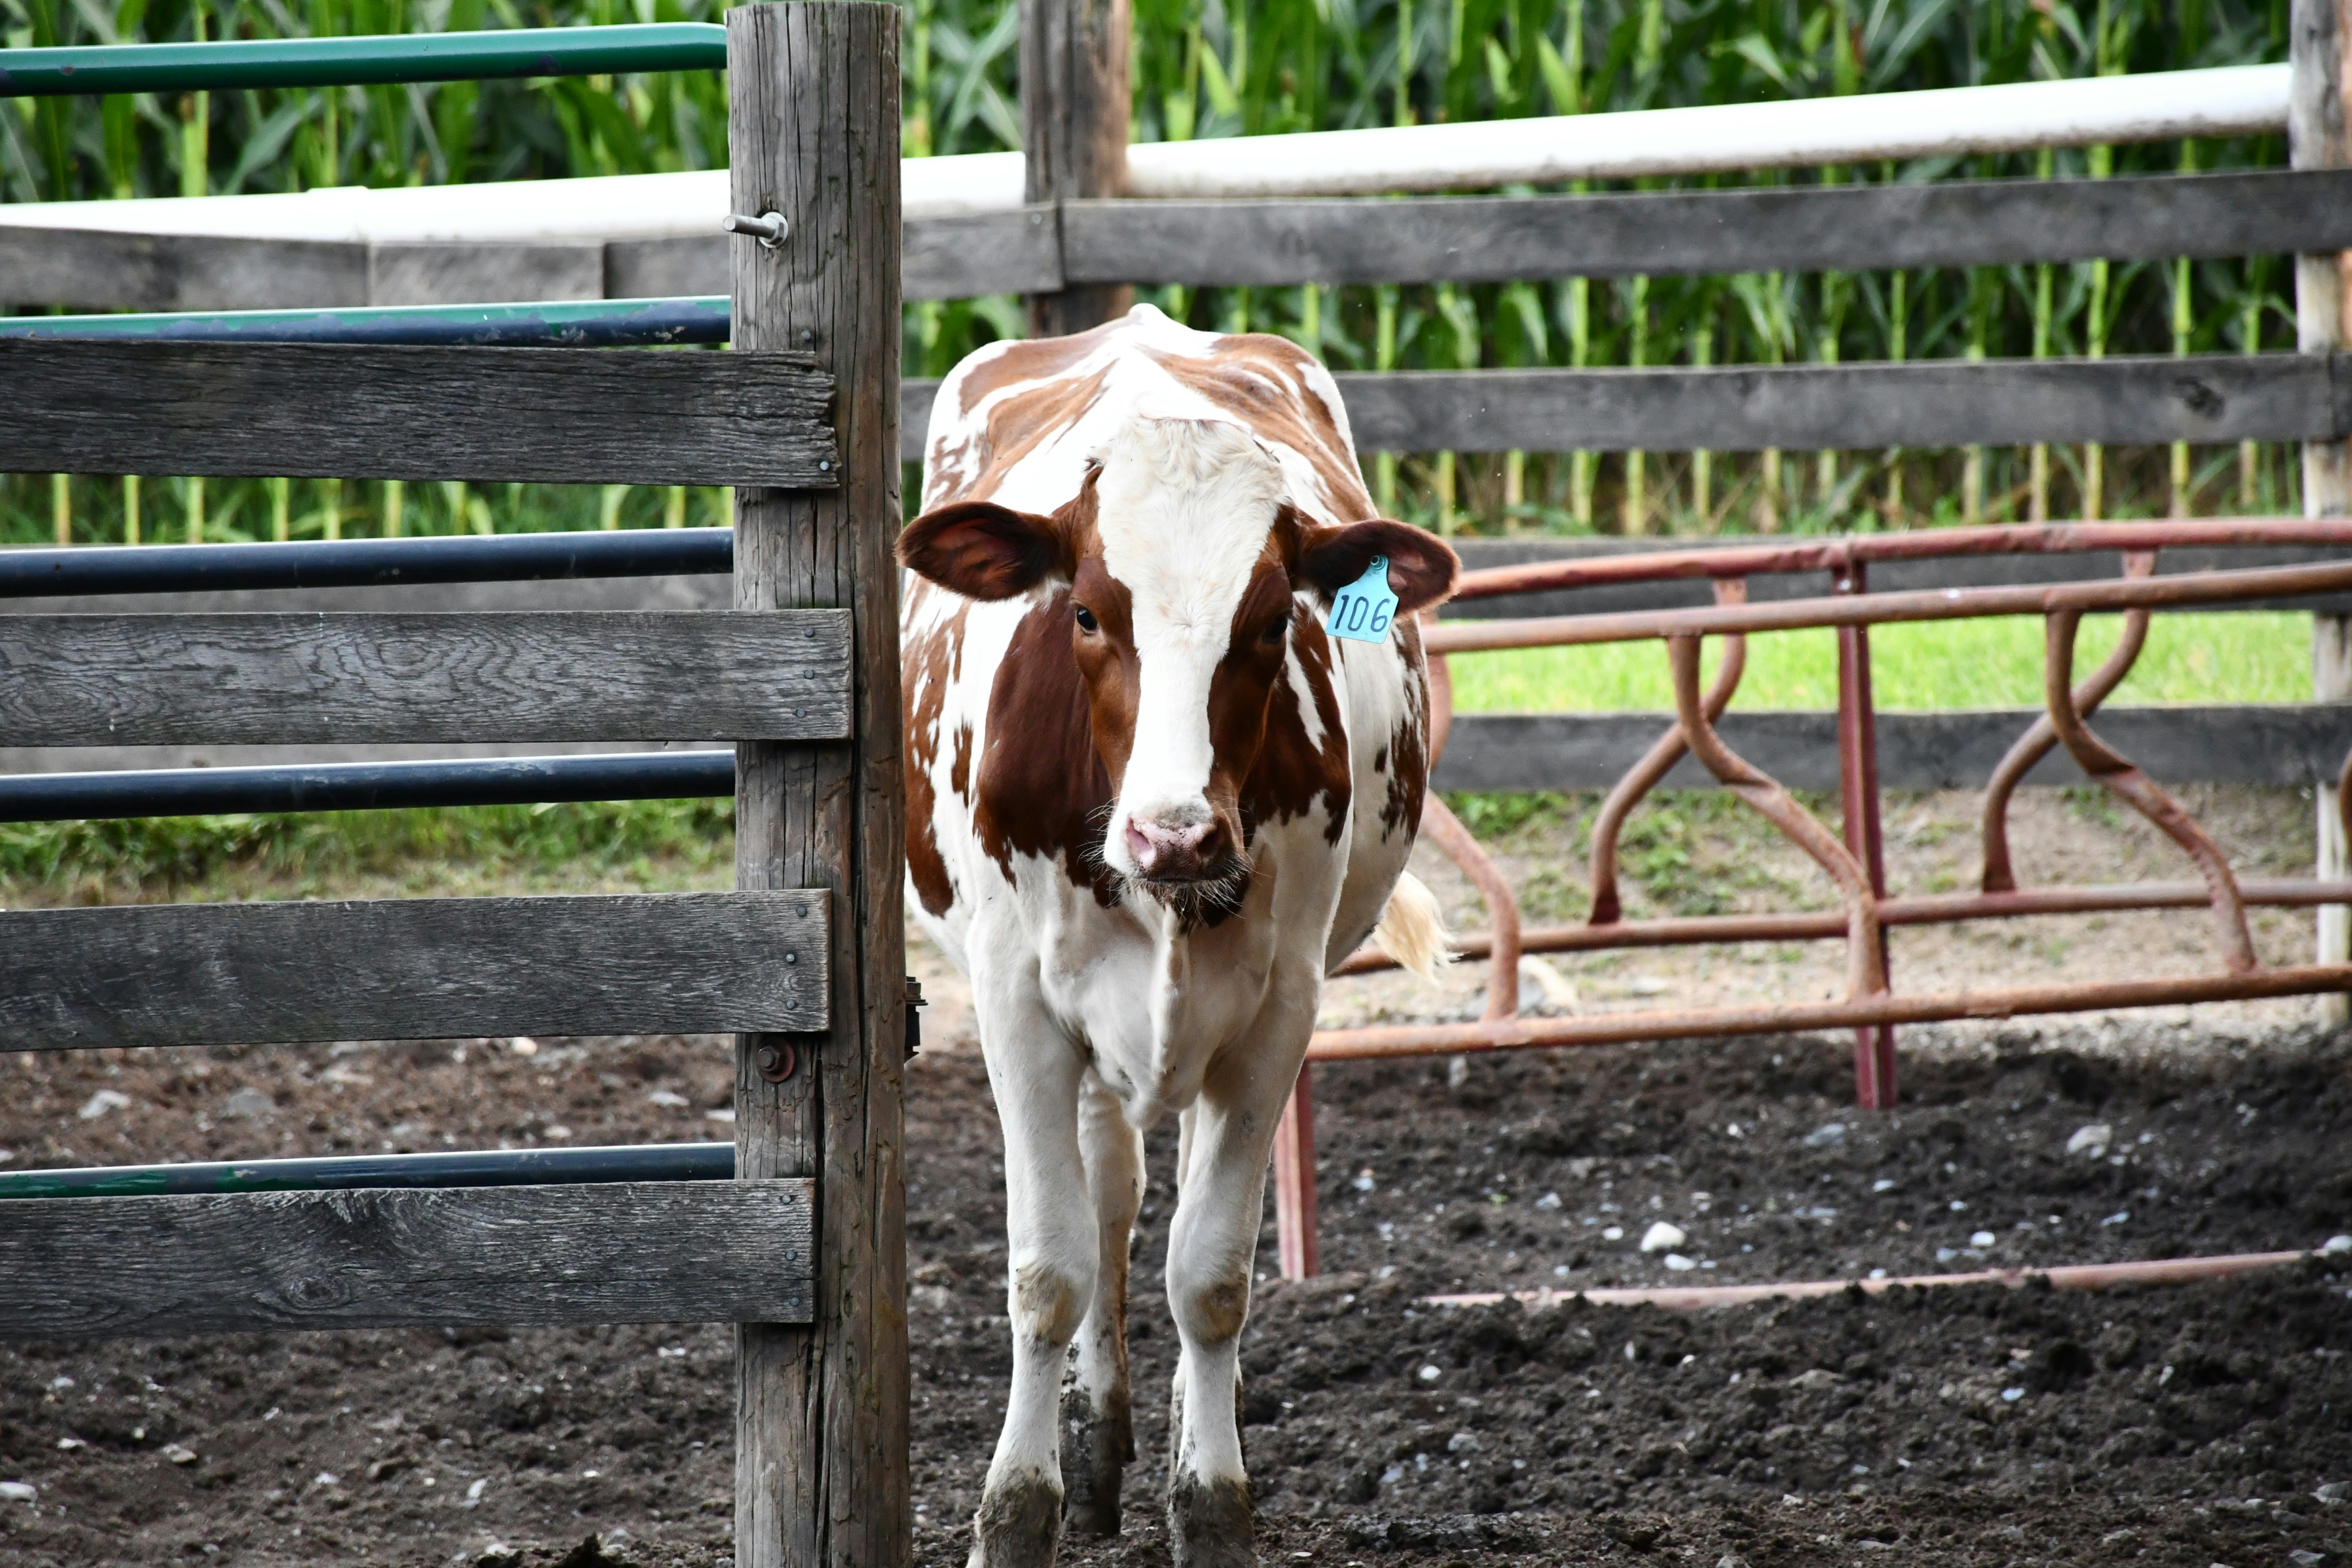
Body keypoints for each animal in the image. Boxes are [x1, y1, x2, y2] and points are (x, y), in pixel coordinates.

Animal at [897, 302, 1459, 1568]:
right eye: (1087, 611)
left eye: (1268, 620)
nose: (1174, 834)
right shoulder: (1016, 1009)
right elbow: (1048, 1272)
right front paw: (1018, 1513)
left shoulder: (1276, 1014)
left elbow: (1208, 1276)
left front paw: (1211, 1506)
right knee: (1108, 1195)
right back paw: (1095, 1436)